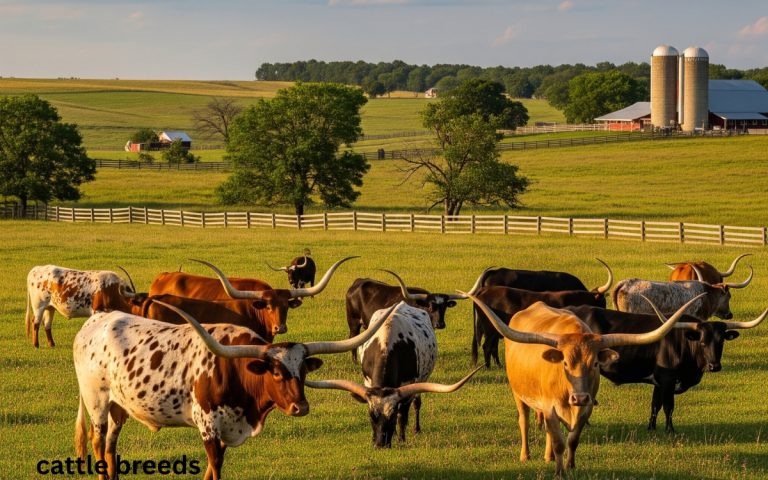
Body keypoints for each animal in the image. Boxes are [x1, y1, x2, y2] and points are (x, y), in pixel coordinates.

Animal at [73, 300, 390, 480]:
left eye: (302, 372)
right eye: (276, 372)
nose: (301, 407)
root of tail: (96, 320)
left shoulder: (228, 426)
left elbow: (213, 467)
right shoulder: (208, 425)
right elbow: (215, 466)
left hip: (119, 406)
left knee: (111, 445)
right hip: (96, 401)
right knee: (98, 442)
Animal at [306, 302, 482, 448]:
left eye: (390, 417)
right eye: (371, 416)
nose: (380, 444)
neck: (387, 344)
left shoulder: (408, 387)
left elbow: (402, 415)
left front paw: (401, 439)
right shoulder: (369, 383)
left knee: (417, 404)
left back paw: (416, 429)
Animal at [344, 269, 485, 362]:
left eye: (444, 307)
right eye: (430, 307)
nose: (440, 324)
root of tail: (359, 281)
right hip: (353, 322)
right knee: (353, 338)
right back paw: (355, 361)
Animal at [471, 285, 611, 368]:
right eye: (602, 301)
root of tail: (484, 290)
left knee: (492, 347)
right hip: (490, 330)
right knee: (487, 346)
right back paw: (488, 366)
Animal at [564, 303, 767, 433]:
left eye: (721, 341)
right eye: (702, 342)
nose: (714, 366)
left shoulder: (659, 383)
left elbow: (656, 405)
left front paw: (651, 428)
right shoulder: (668, 379)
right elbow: (669, 406)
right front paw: (670, 430)